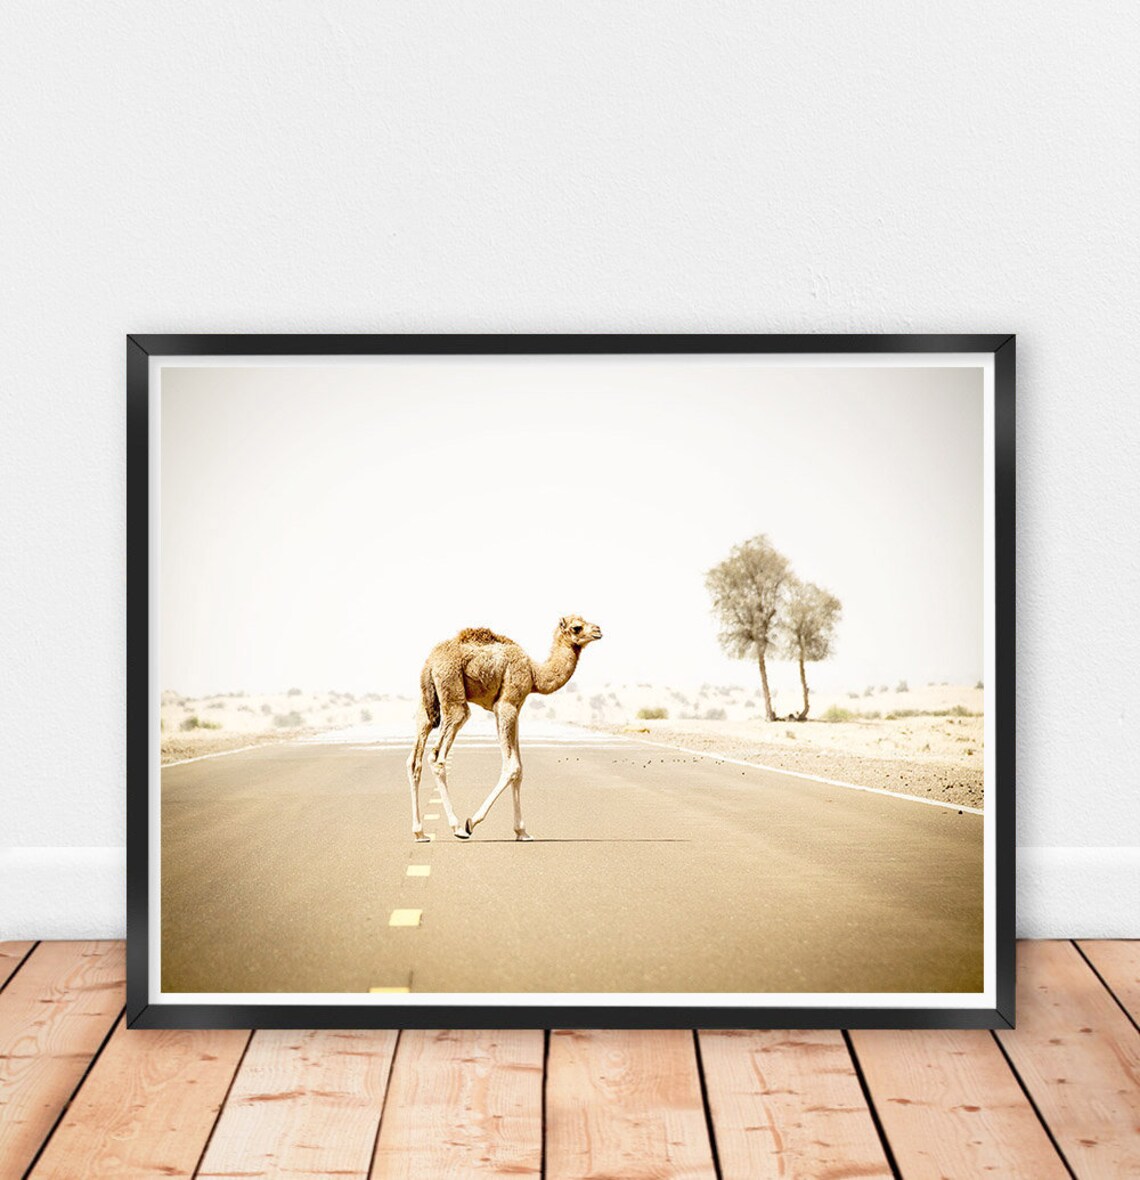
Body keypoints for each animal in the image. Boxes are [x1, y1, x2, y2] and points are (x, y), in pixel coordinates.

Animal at [406, 615, 603, 842]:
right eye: (577, 627)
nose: (598, 630)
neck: (534, 674)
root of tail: (430, 663)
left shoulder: (516, 709)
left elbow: (520, 768)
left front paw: (522, 832)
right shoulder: (506, 704)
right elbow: (512, 767)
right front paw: (472, 822)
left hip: (427, 703)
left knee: (414, 758)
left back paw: (420, 832)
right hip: (453, 695)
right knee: (437, 756)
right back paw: (457, 828)